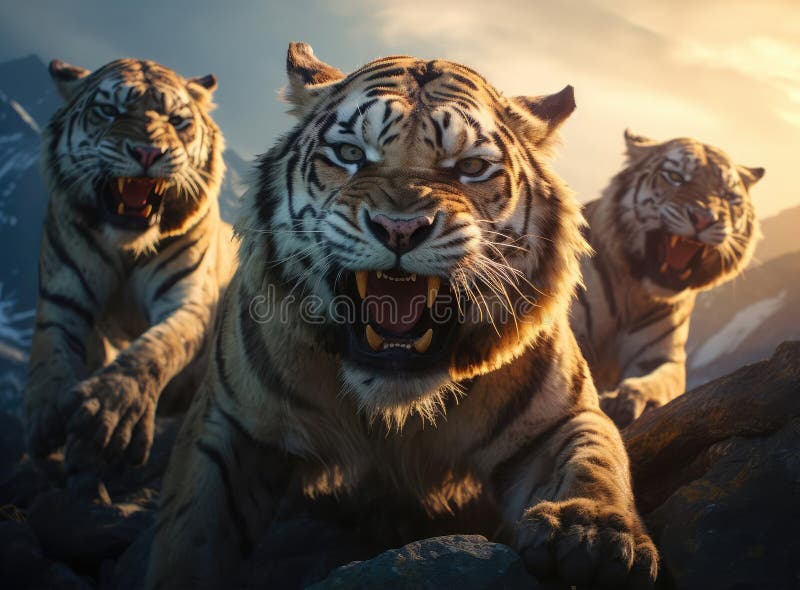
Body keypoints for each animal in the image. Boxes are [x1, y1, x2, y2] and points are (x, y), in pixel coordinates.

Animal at [24, 58, 236, 469]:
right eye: (110, 111)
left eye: (177, 121)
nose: (149, 153)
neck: (127, 246)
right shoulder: (62, 296)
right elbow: (50, 351)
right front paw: (46, 417)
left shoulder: (190, 300)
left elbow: (156, 349)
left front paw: (109, 414)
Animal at [145, 43, 658, 589]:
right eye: (351, 155)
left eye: (471, 166)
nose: (399, 228)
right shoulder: (228, 423)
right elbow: (190, 533)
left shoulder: (561, 416)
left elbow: (594, 459)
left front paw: (592, 533)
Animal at [571, 130, 763, 428]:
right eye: (675, 176)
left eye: (729, 196)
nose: (704, 219)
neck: (635, 294)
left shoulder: (664, 357)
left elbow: (659, 381)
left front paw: (631, 399)